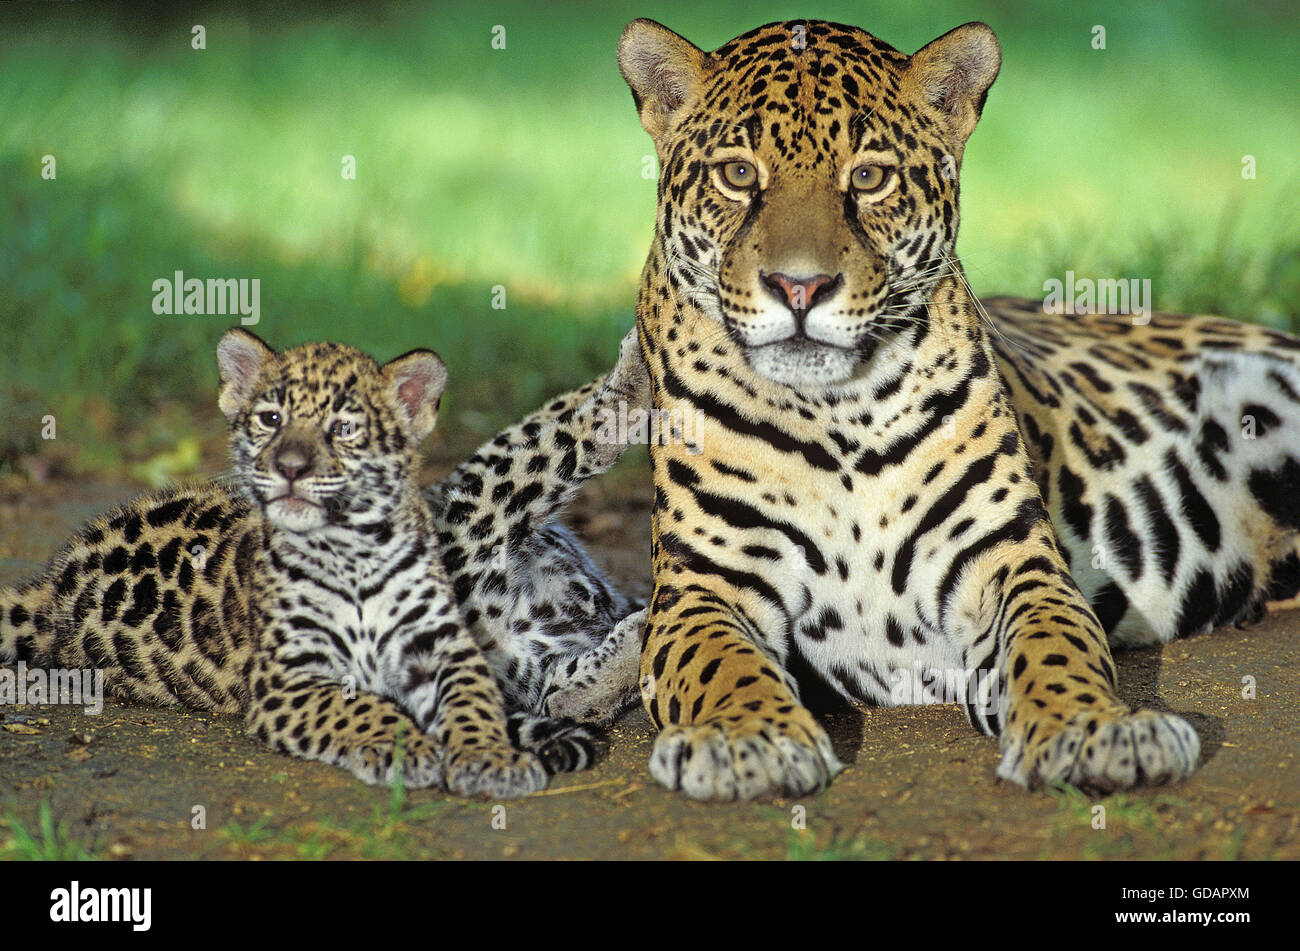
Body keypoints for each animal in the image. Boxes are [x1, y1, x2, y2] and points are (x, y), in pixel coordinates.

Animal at [1, 326, 649, 795]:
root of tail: (48, 597)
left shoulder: (529, 666)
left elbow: (588, 680)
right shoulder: (473, 507)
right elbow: (555, 436)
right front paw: (637, 372)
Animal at [613, 17, 1300, 800]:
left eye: (869, 177)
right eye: (736, 174)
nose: (799, 287)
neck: (839, 414)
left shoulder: (1011, 557)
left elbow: (1055, 644)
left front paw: (1091, 729)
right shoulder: (701, 587)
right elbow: (720, 667)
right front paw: (744, 738)